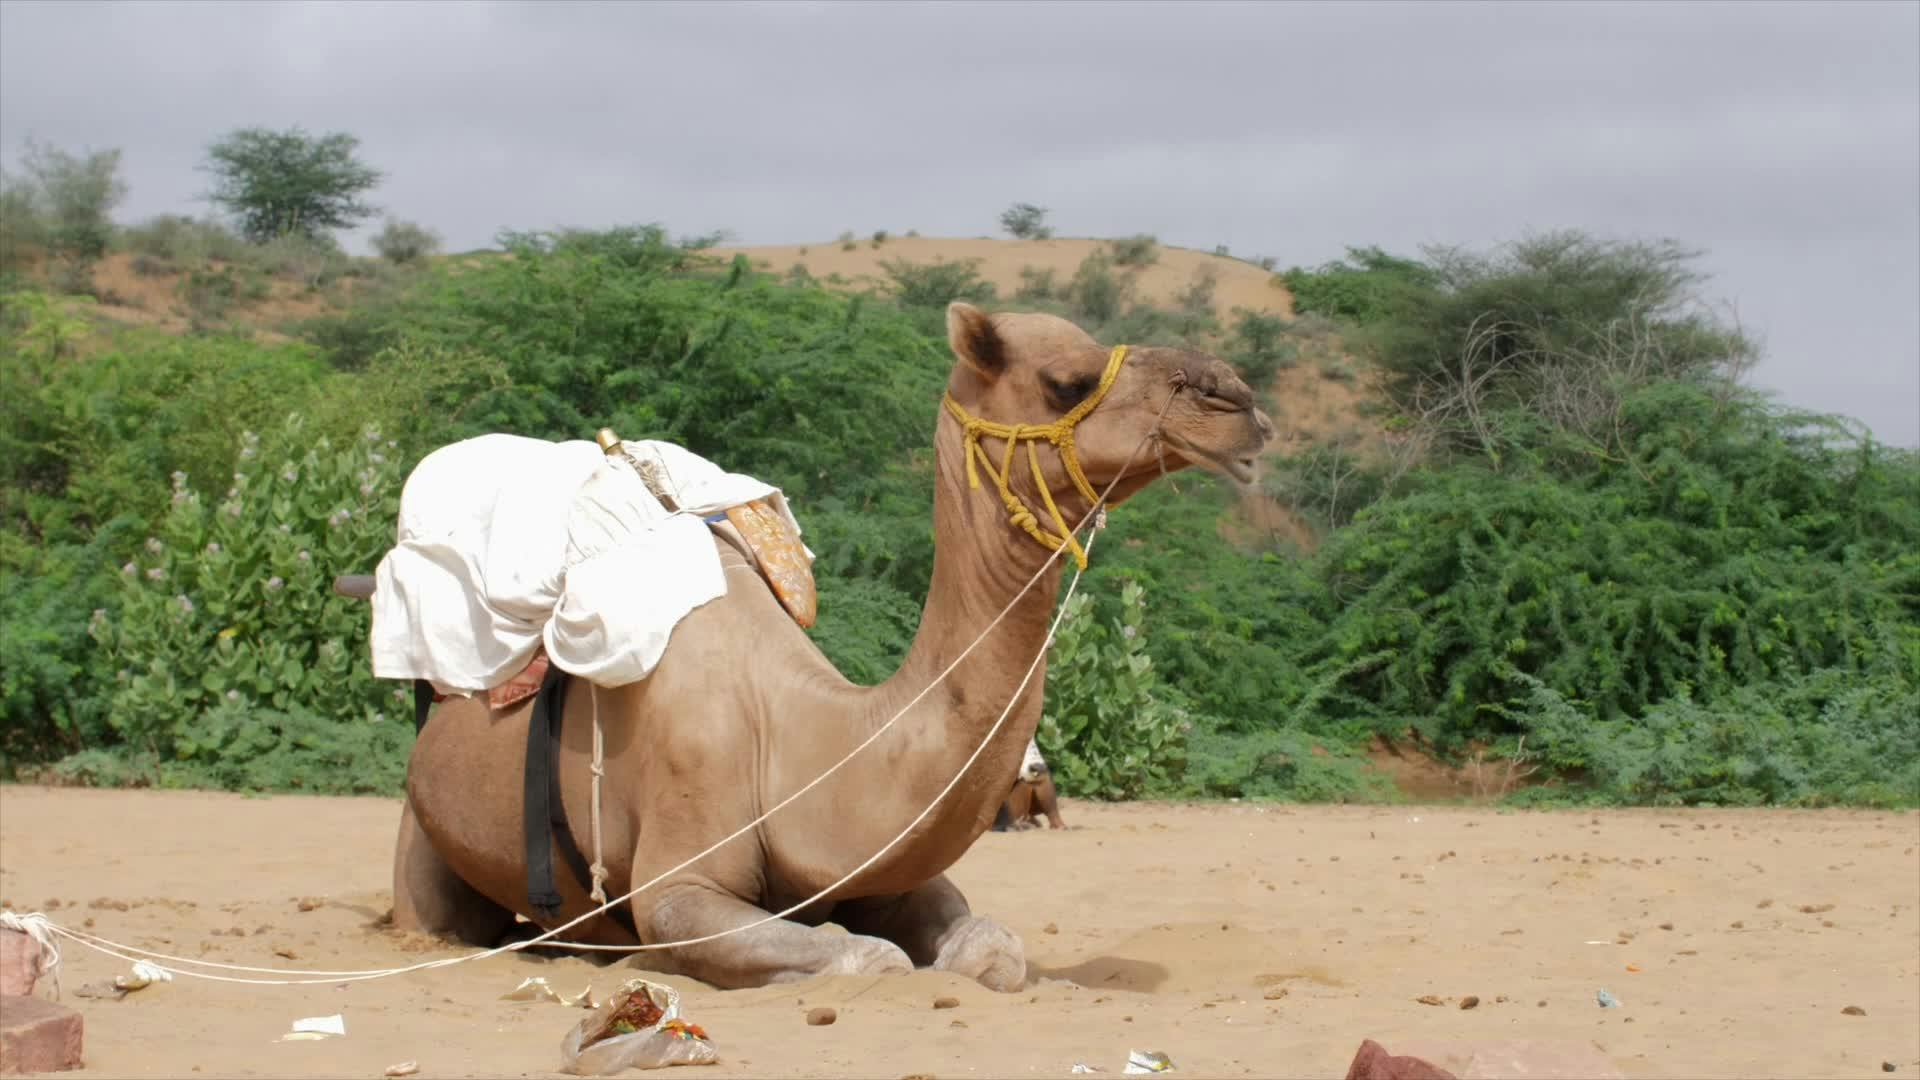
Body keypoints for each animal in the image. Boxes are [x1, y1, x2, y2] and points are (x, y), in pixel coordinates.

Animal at [386, 301, 1275, 992]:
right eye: (1069, 381)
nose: (1240, 401)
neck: (797, 740)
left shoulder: (886, 867)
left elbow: (990, 951)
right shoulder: (679, 884)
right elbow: (869, 960)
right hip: (422, 830)